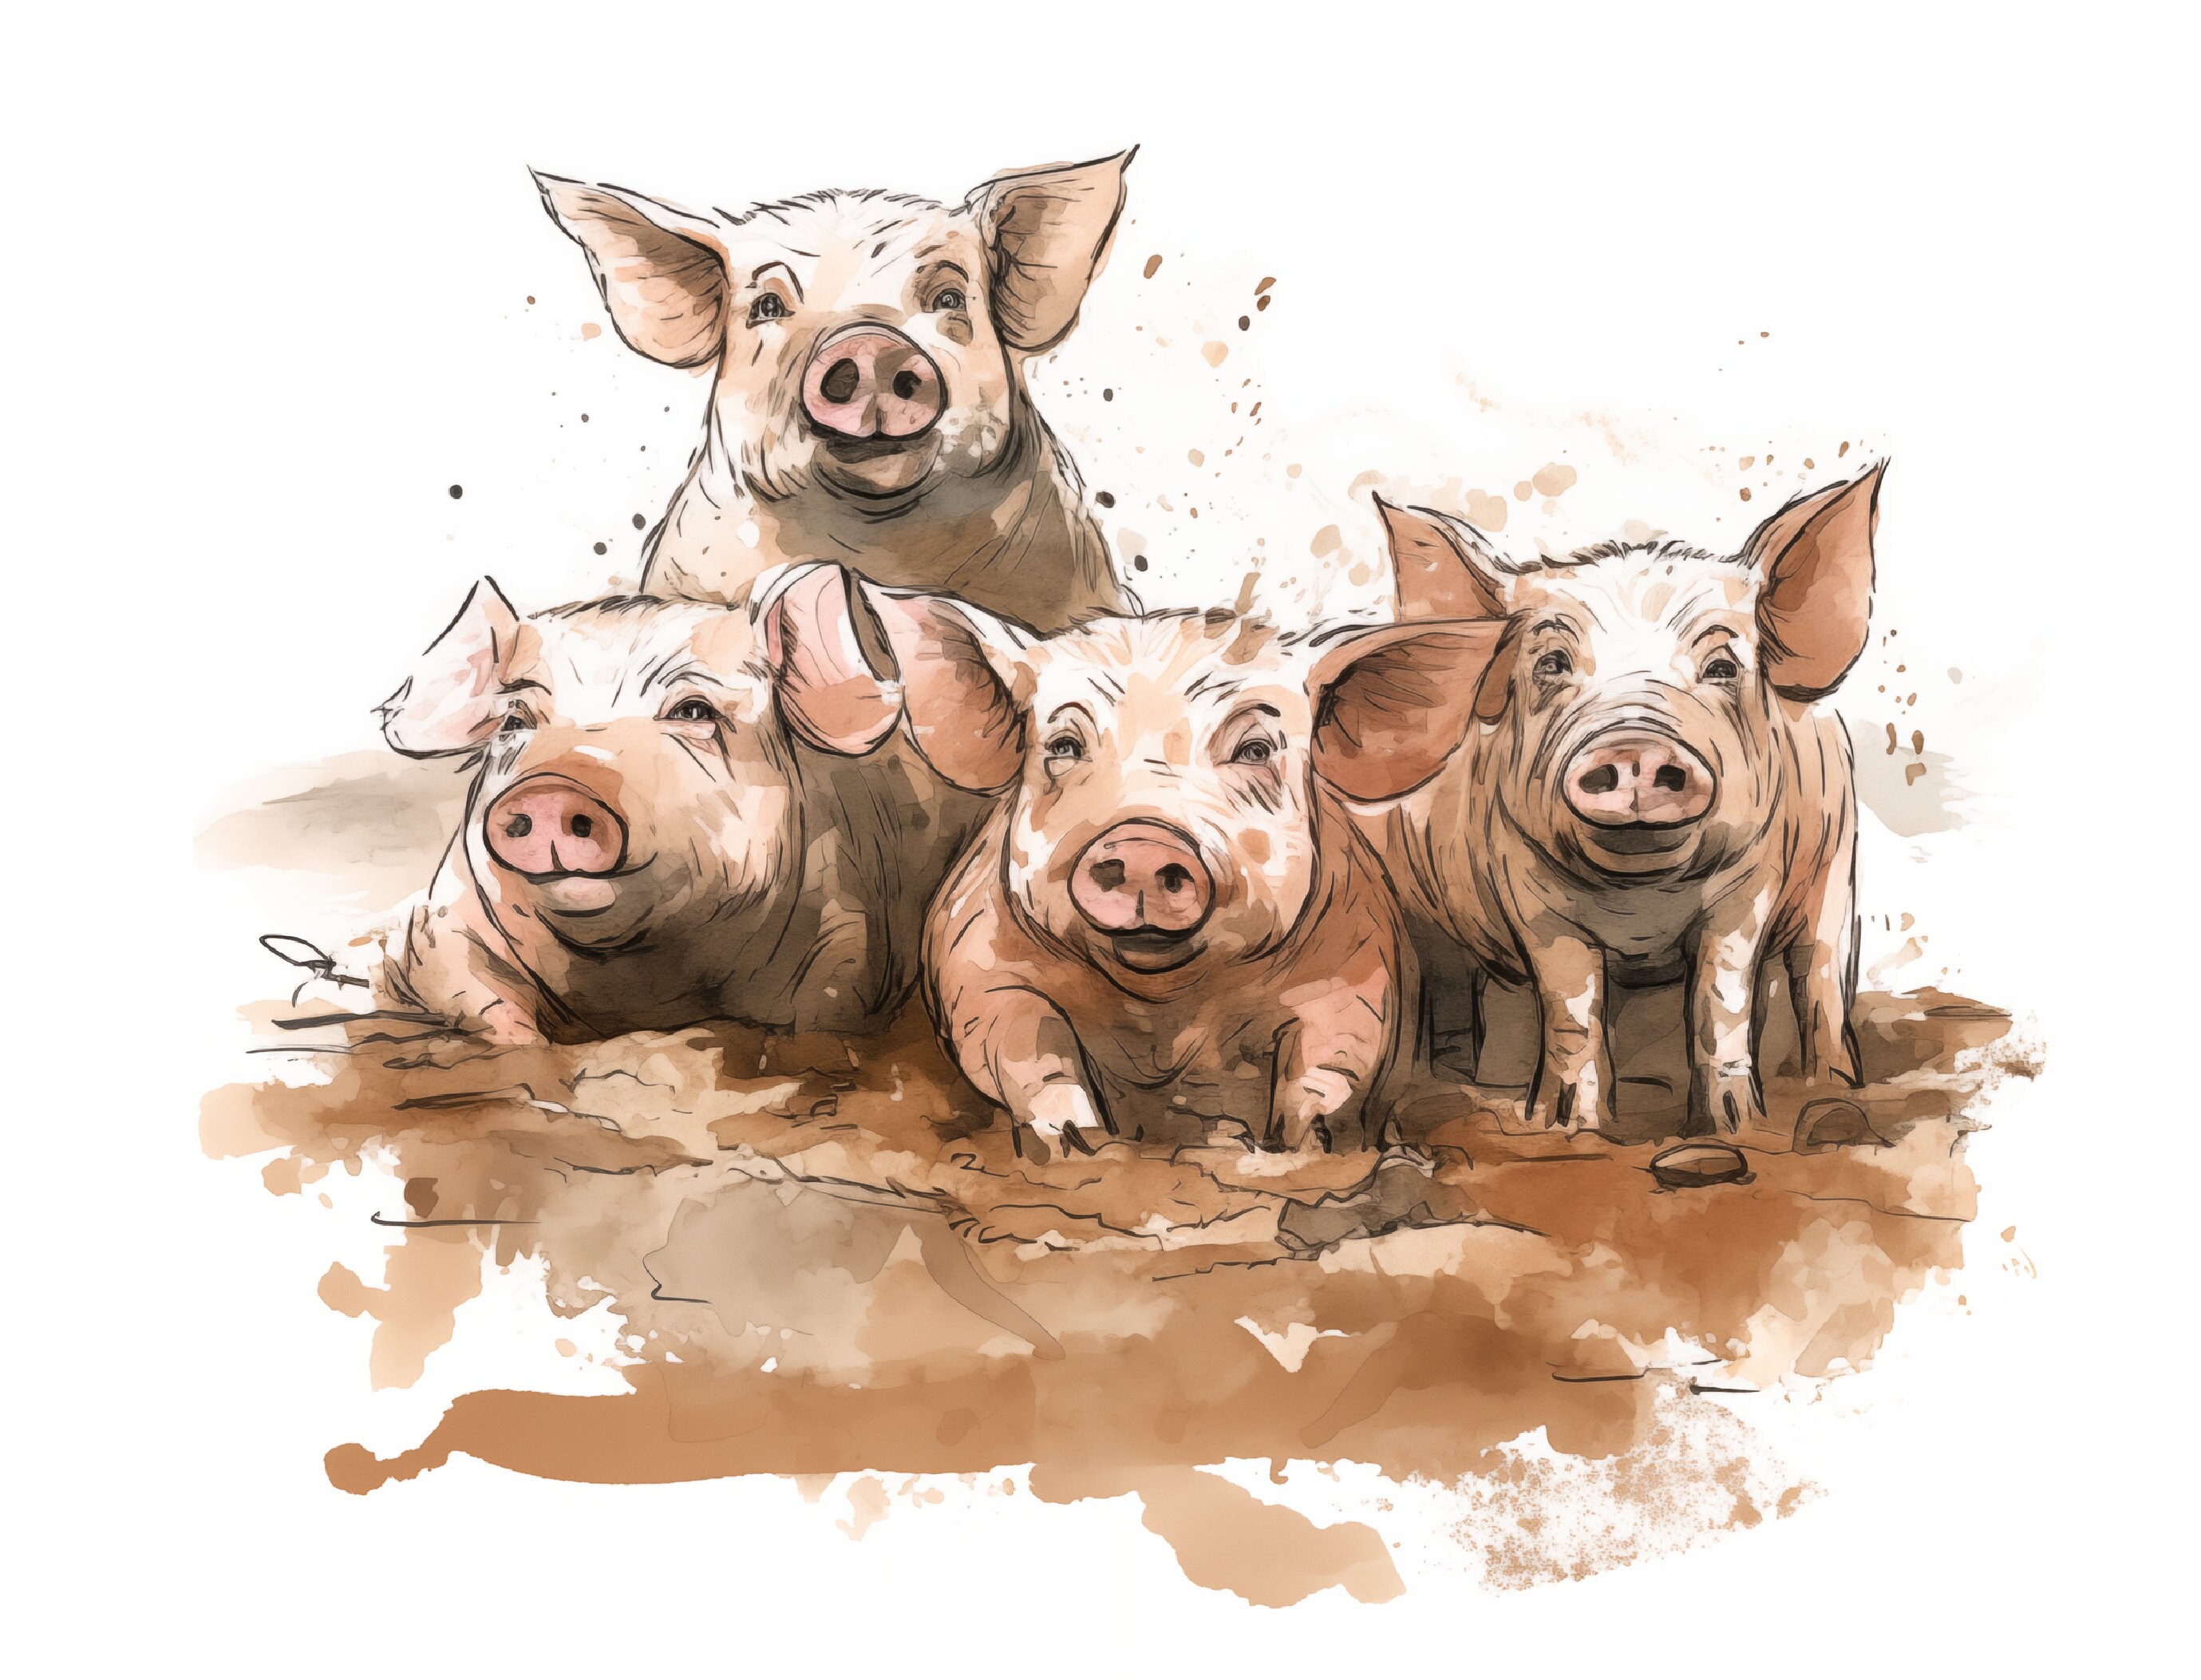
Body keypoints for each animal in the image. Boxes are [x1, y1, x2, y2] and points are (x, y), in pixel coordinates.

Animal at [376, 564, 986, 1043]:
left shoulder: (848, 943)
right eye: (514, 722)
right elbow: (484, 1002)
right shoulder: (437, 931)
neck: (641, 989)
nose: (551, 789)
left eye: (694, 711)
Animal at [870, 595, 1501, 1158]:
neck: (1162, 1007)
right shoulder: (976, 959)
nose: (1144, 844)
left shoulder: (1355, 967)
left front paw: (1299, 1149)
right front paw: (1082, 1146)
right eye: (1065, 746)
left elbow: (1328, 1063)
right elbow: (1025, 1045)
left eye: (1255, 749)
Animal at [1370, 465, 1885, 1136]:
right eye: (1552, 663)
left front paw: (1732, 1126)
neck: (1641, 902)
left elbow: (1722, 996)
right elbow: (1571, 1002)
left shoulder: (1752, 881)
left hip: (1835, 868)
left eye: (1722, 667)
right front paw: (1568, 1128)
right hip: (1427, 916)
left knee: (1817, 974)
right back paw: (1468, 1083)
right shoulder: (1527, 888)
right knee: (1461, 988)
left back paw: (1831, 1086)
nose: (1634, 745)